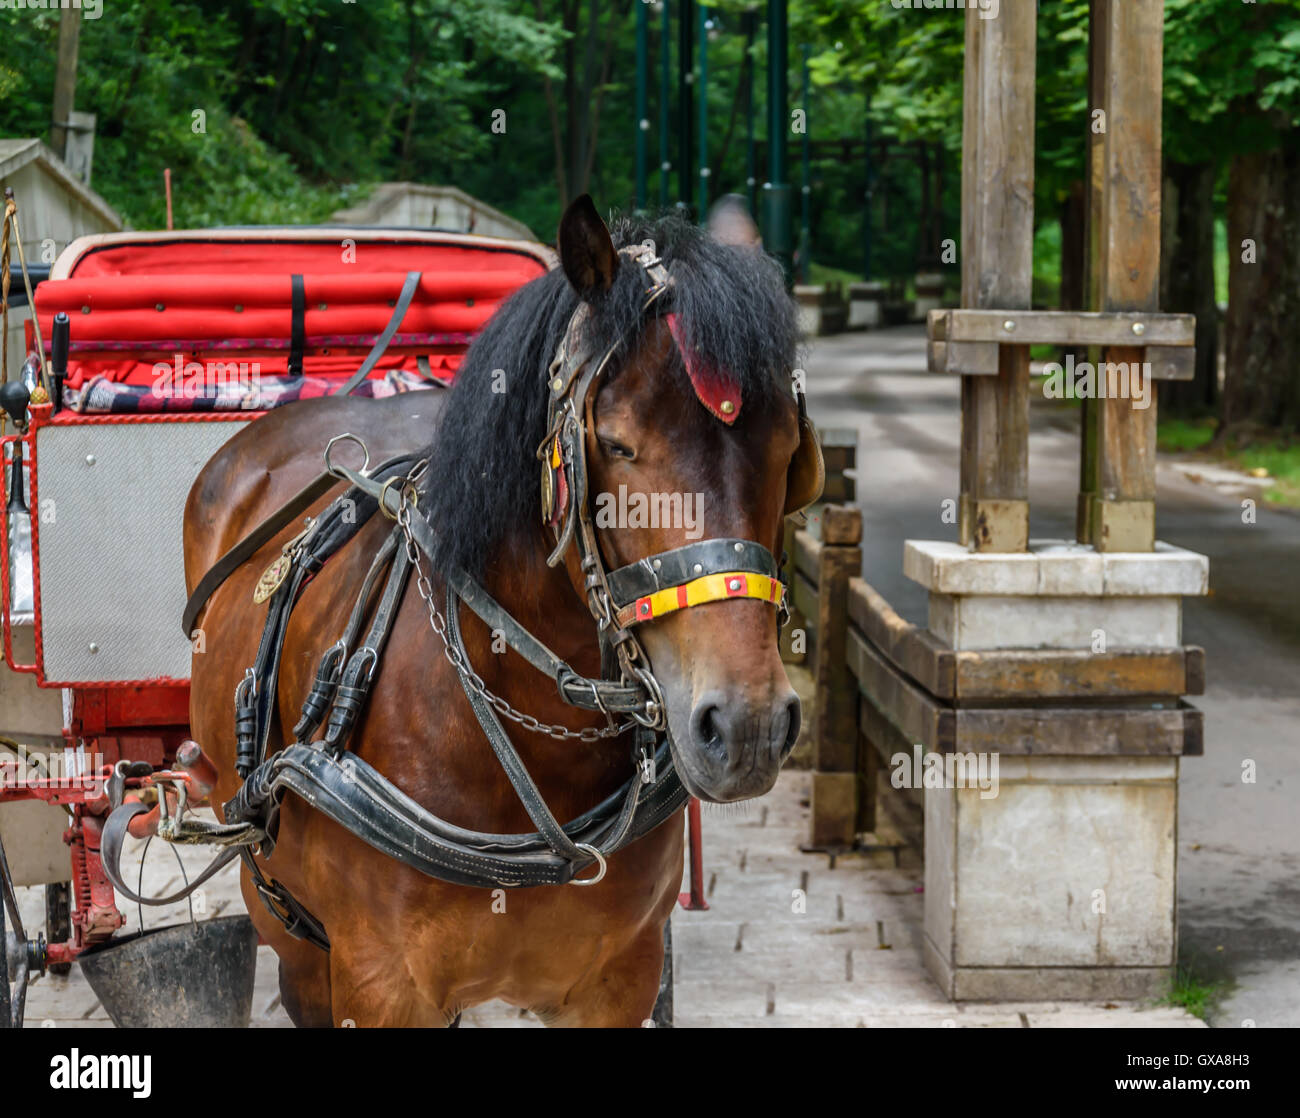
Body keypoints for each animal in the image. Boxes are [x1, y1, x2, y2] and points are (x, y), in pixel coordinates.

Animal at [183, 196, 811, 1027]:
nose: (747, 726)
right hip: (285, 922)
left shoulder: (619, 981)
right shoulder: (380, 985)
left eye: (788, 448)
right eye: (616, 444)